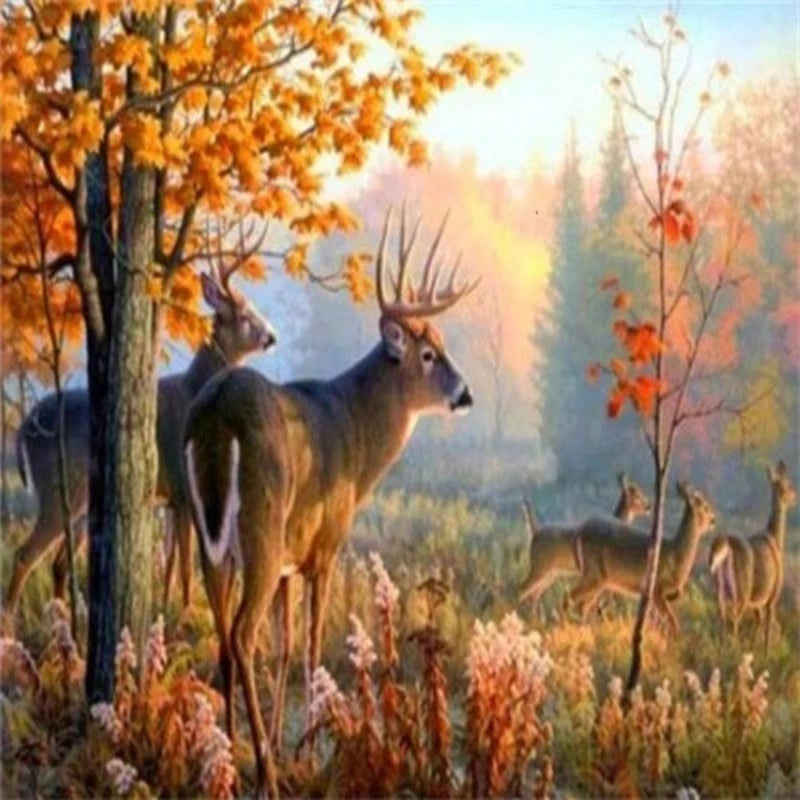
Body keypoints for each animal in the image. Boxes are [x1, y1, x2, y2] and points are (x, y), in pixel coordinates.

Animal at [6, 263, 276, 620]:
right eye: (245, 313)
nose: (271, 336)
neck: (195, 389)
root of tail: (24, 427)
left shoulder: (169, 498)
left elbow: (171, 565)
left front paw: (167, 609)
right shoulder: (183, 488)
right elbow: (187, 566)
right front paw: (186, 613)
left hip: (80, 499)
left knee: (59, 563)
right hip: (56, 487)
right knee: (25, 554)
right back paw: (11, 622)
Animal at [182, 206, 477, 797]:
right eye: (428, 353)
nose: (465, 394)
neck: (354, 436)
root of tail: (216, 413)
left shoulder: (290, 564)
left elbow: (286, 645)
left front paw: (285, 745)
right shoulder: (324, 546)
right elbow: (314, 647)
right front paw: (312, 753)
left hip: (216, 543)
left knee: (225, 639)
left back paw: (229, 762)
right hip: (262, 528)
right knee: (242, 636)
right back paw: (264, 774)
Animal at [519, 471, 651, 616]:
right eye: (637, 494)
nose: (648, 506)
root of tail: (535, 532)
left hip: (550, 573)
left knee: (534, 594)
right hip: (540, 567)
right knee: (523, 589)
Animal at [565, 480, 716, 634]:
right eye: (705, 506)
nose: (713, 520)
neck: (676, 554)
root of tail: (580, 532)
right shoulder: (656, 590)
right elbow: (673, 624)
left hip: (600, 580)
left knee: (583, 605)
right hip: (595, 575)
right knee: (570, 598)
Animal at [708, 460, 796, 647]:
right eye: (787, 485)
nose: (795, 495)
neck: (776, 539)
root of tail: (725, 543)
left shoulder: (757, 603)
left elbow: (758, 624)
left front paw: (754, 646)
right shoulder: (773, 595)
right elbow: (767, 628)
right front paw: (766, 650)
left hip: (719, 587)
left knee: (722, 616)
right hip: (742, 588)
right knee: (733, 618)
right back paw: (732, 649)